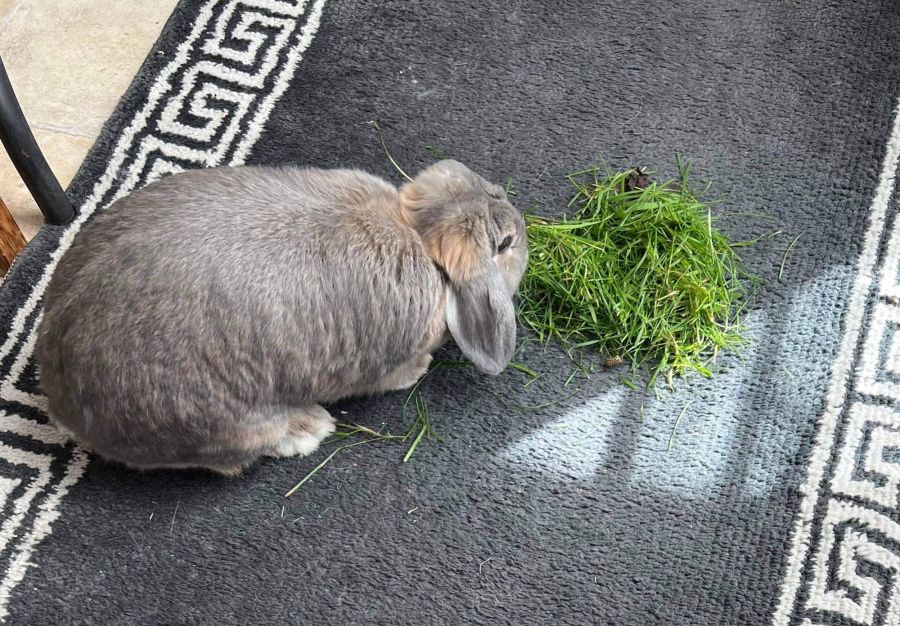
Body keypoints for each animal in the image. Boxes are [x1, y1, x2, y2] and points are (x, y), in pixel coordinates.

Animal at [35, 159, 528, 475]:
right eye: (503, 244)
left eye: (493, 193)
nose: (522, 223)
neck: (417, 234)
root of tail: (65, 407)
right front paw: (419, 369)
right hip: (220, 420)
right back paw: (307, 428)